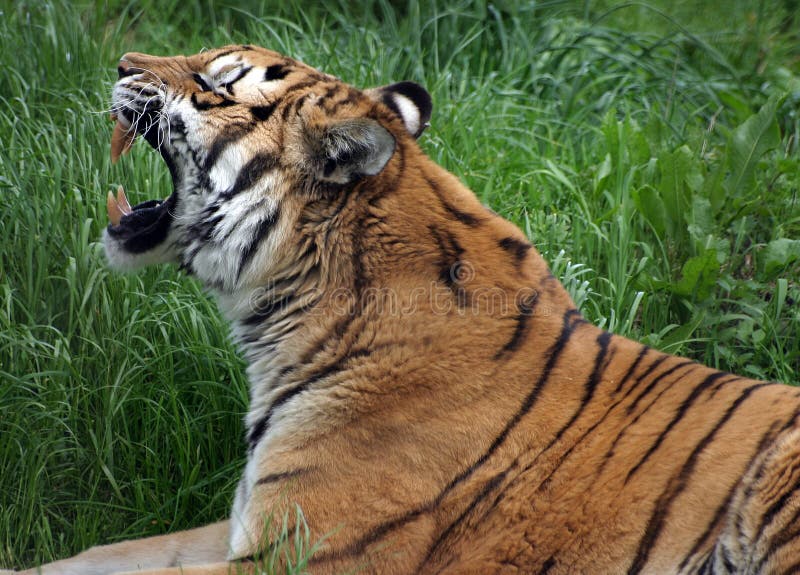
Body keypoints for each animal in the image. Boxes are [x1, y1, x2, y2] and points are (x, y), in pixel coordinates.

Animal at [8, 44, 800, 575]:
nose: (119, 61)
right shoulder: (246, 521)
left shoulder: (305, 553)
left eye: (214, 83)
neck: (285, 315)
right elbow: (104, 553)